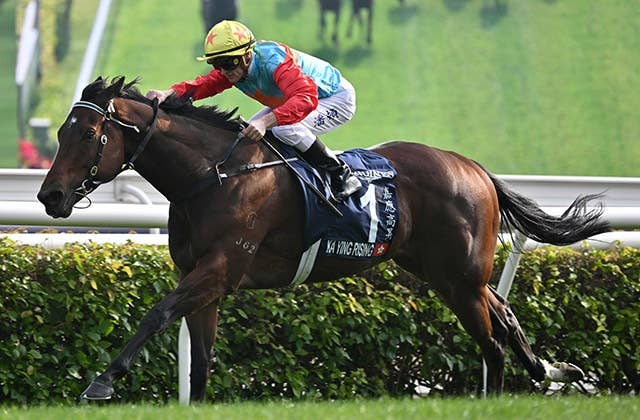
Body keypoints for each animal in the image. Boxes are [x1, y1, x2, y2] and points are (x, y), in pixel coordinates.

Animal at [38, 76, 609, 401]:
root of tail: (474, 168)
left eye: (87, 134)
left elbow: (156, 315)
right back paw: (551, 370)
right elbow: (199, 362)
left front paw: (101, 381)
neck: (215, 175)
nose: (50, 196)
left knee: (491, 344)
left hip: (459, 279)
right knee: (504, 314)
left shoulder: (219, 270)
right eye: (61, 133)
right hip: (442, 271)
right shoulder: (204, 282)